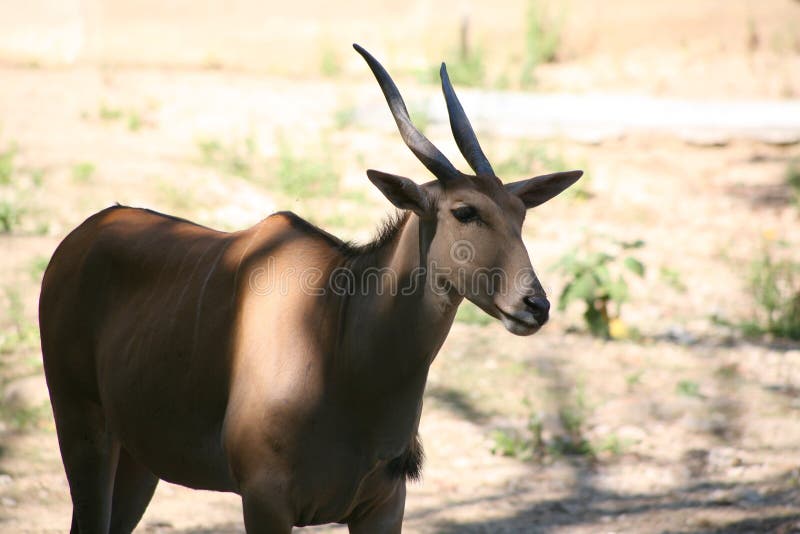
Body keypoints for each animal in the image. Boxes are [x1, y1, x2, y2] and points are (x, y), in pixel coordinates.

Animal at [39, 44, 581, 533]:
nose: (535, 305)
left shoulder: (384, 506)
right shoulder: (264, 500)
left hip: (138, 458)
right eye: (465, 211)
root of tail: (82, 235)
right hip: (82, 426)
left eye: (520, 214)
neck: (338, 338)